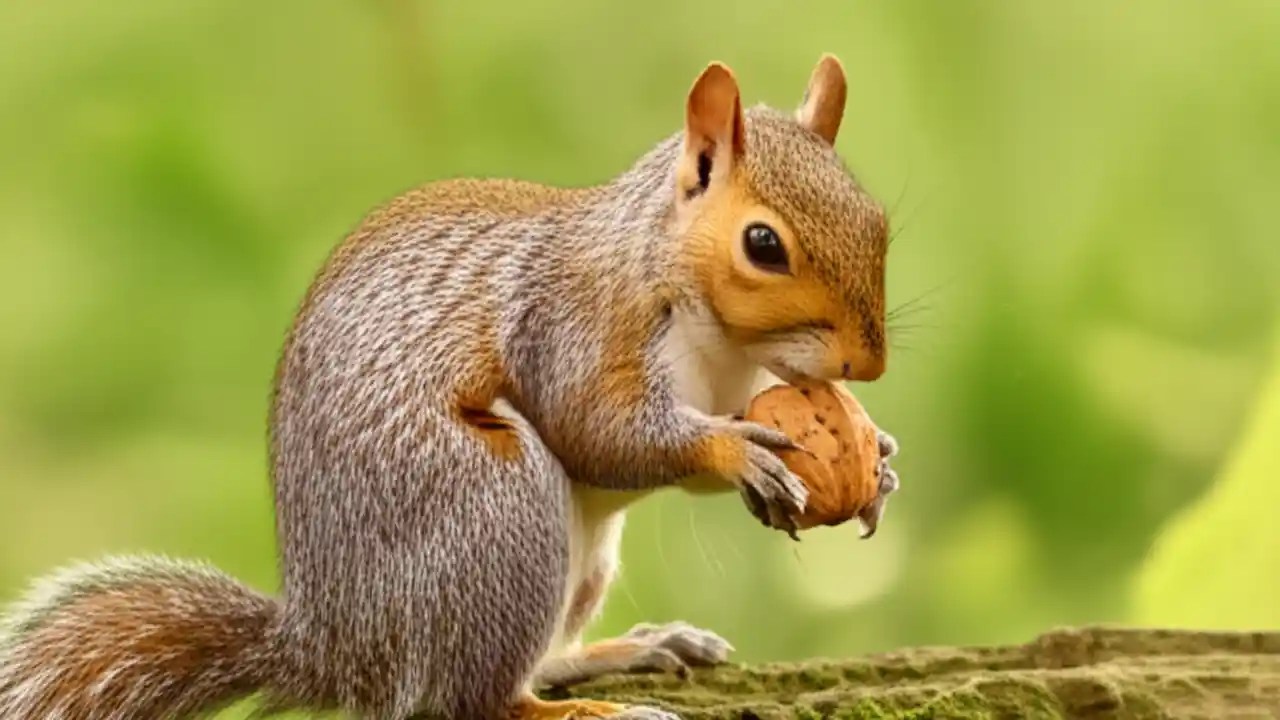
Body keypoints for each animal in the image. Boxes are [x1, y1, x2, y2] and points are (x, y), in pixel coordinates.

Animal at [0, 54, 894, 720]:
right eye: (762, 244)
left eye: (880, 220)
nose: (868, 366)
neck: (720, 338)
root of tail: (335, 652)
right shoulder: (574, 325)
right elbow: (601, 432)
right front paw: (738, 451)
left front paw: (878, 458)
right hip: (495, 506)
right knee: (475, 700)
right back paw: (590, 707)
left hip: (573, 560)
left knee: (521, 670)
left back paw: (624, 653)